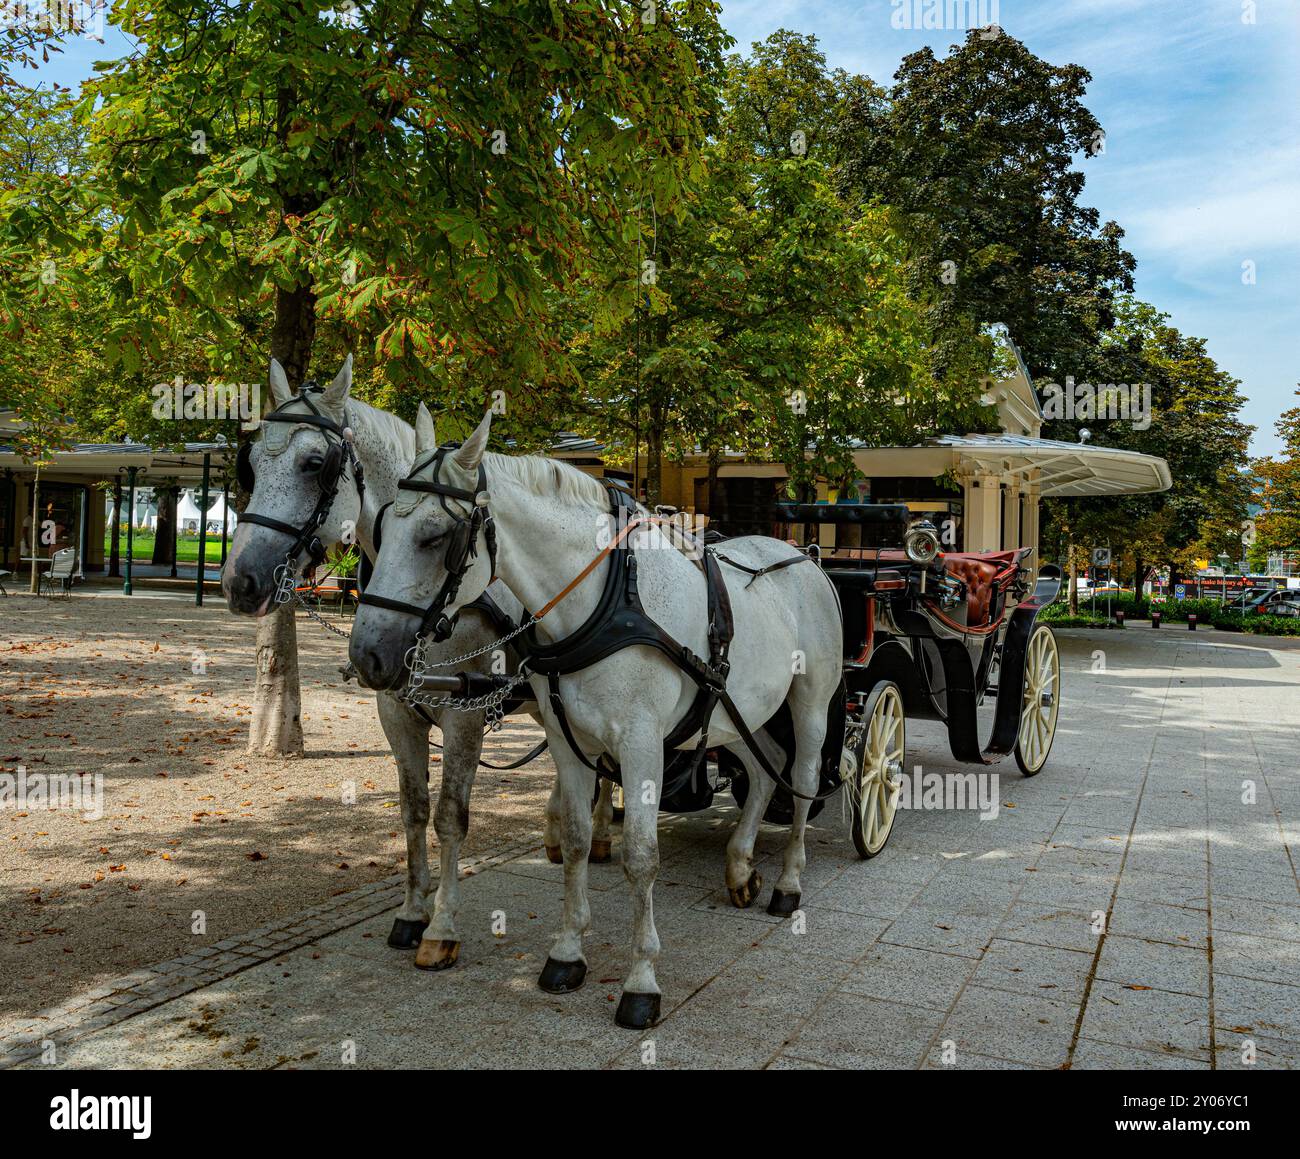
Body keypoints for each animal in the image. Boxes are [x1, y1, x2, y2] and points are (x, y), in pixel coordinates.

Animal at [220, 356, 615, 971]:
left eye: (315, 464)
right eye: (253, 463)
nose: (241, 581)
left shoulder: (465, 717)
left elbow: (451, 816)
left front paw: (442, 927)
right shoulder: (396, 711)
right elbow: (413, 810)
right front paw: (411, 911)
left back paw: (597, 835)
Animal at [349, 405, 845, 1028]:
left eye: (436, 536)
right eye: (381, 528)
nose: (368, 654)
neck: (605, 601)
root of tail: (804, 557)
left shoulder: (641, 744)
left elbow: (641, 855)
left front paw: (641, 980)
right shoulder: (568, 740)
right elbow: (578, 838)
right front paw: (567, 951)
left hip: (810, 702)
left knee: (800, 778)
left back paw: (788, 884)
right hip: (737, 714)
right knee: (762, 771)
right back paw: (739, 867)